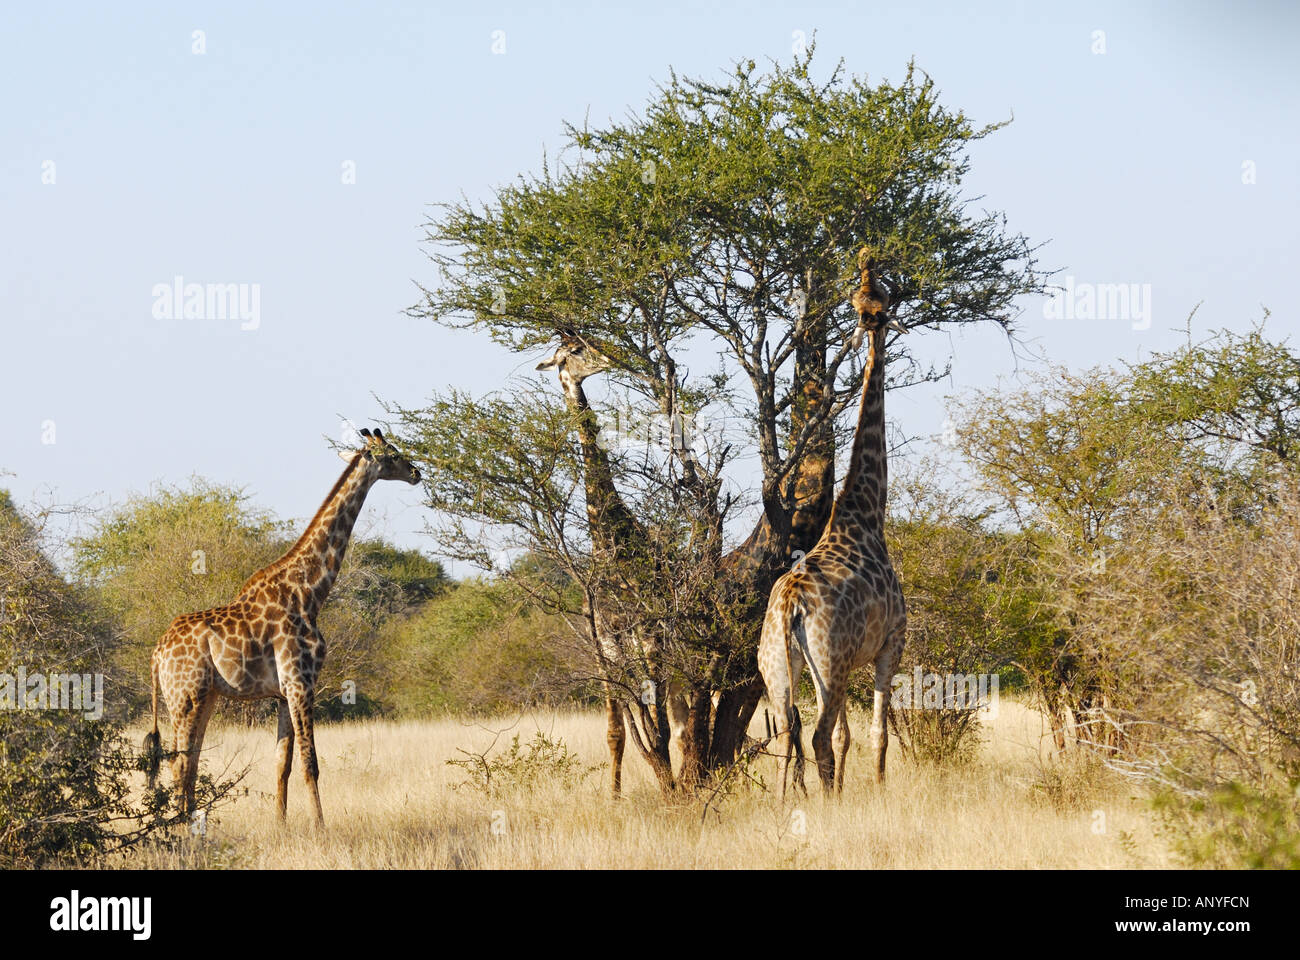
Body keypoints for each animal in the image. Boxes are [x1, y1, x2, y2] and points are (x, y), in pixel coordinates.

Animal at [143, 428, 420, 826]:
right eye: (392, 454)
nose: (417, 473)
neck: (310, 591)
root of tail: (156, 653)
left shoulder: (282, 692)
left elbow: (281, 765)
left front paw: (282, 825)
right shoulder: (301, 683)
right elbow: (310, 763)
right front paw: (320, 827)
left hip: (204, 697)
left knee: (190, 764)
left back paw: (193, 827)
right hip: (185, 697)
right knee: (179, 765)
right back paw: (180, 830)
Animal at [536, 335, 691, 796]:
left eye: (584, 341)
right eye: (573, 351)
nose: (610, 357)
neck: (610, 540)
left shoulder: (650, 636)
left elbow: (659, 728)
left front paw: (667, 787)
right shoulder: (605, 642)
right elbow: (616, 733)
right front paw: (615, 797)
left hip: (679, 647)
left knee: (685, 724)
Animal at [757, 248, 908, 799]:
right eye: (878, 298)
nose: (876, 319)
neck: (867, 514)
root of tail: (791, 607)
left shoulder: (848, 662)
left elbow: (847, 736)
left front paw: (845, 788)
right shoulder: (890, 644)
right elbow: (877, 731)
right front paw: (880, 791)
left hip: (780, 666)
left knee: (789, 731)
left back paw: (790, 803)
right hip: (829, 661)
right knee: (817, 735)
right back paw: (822, 805)